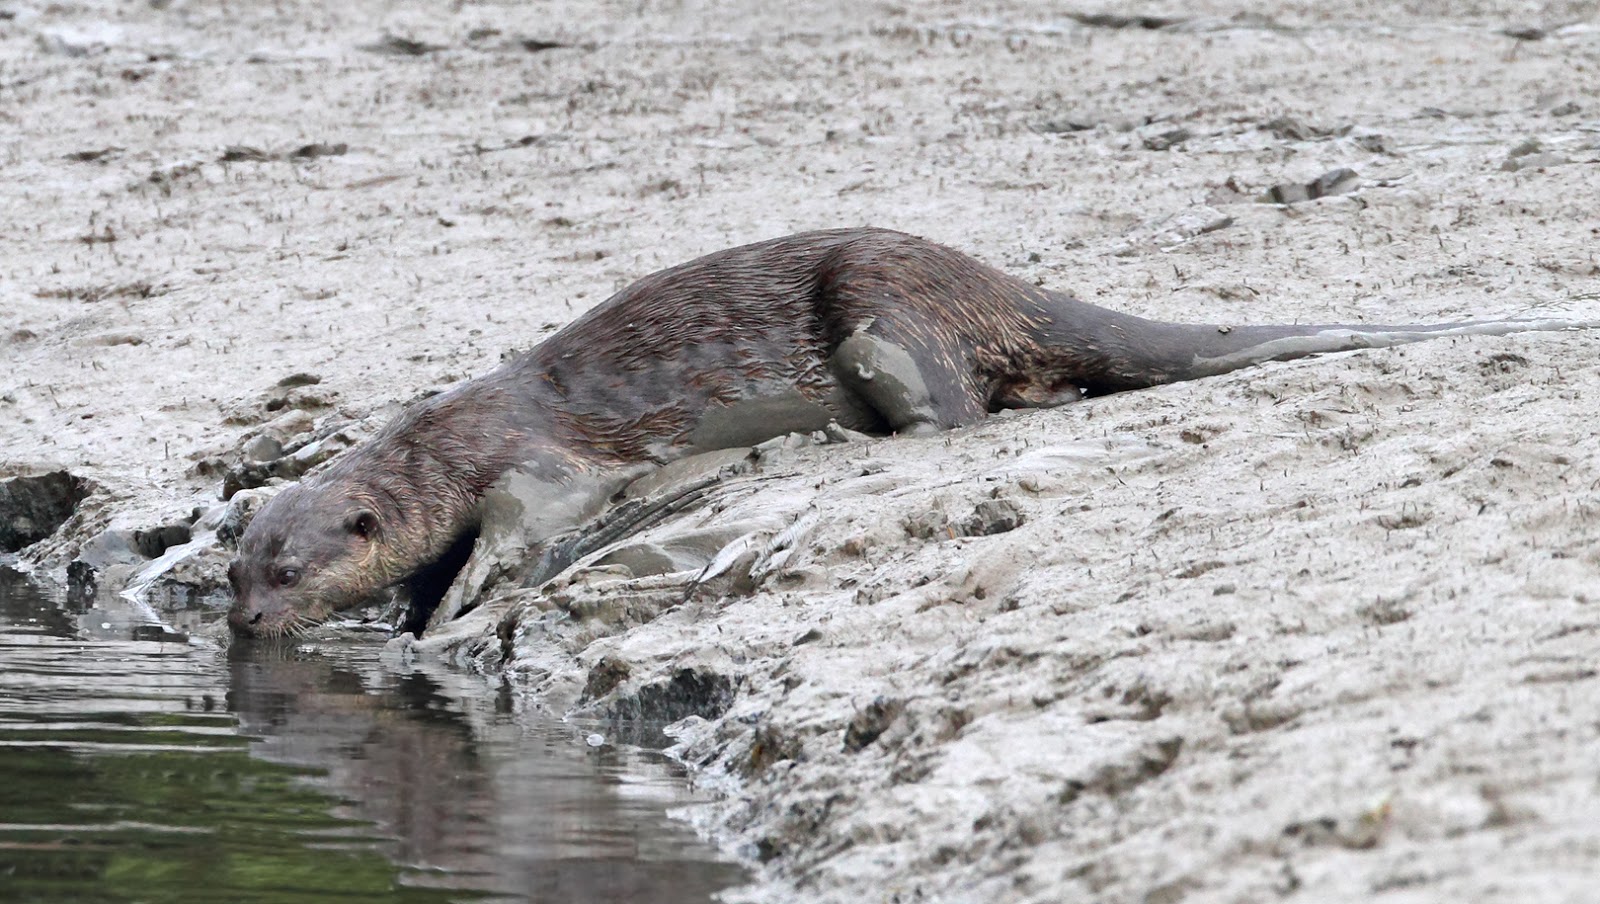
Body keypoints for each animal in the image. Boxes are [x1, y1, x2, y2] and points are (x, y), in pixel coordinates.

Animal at [227, 227, 1592, 638]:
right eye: (239, 571)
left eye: (287, 572)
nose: (241, 623)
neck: (442, 444)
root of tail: (993, 279)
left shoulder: (532, 457)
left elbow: (528, 519)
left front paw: (459, 597)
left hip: (880, 311)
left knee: (954, 409)